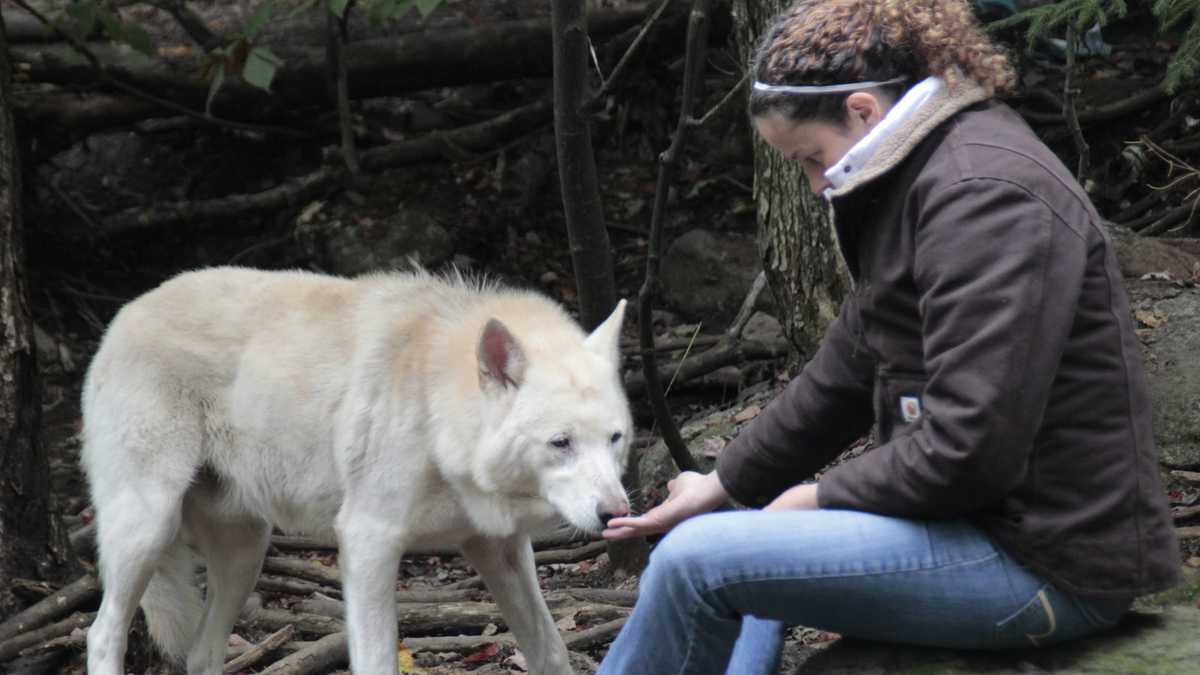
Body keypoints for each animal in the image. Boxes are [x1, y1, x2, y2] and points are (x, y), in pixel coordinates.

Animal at [81, 266, 632, 675]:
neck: (437, 407)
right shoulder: (368, 542)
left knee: (200, 654)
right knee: (101, 634)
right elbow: (378, 660)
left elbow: (551, 650)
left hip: (245, 554)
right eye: (560, 443)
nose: (616, 513)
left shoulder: (499, 548)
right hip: (148, 530)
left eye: (615, 438)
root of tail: (121, 317)